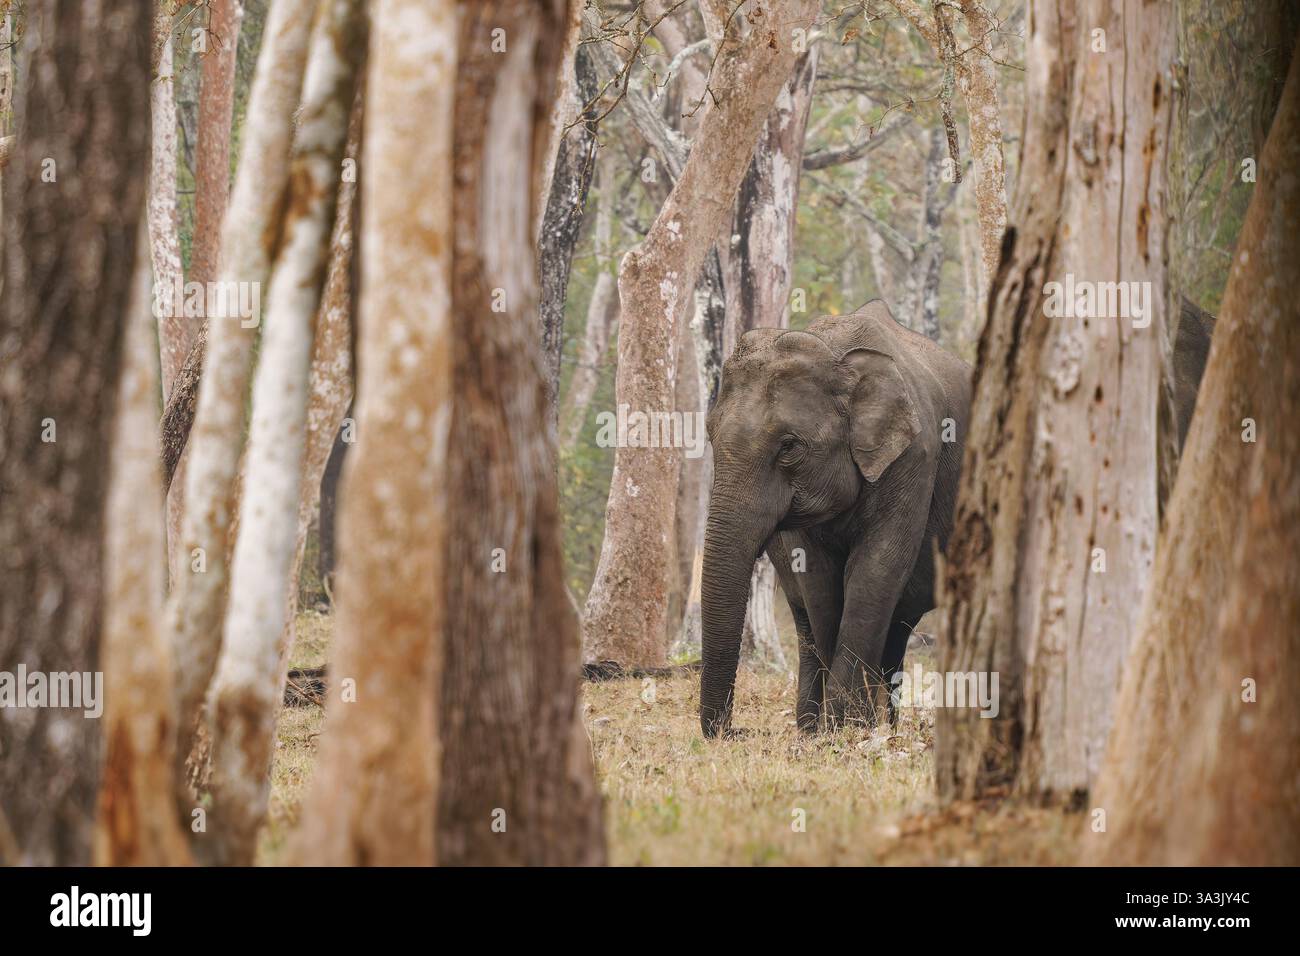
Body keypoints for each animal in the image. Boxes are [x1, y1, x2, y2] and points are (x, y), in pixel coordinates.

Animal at [699, 300, 972, 737]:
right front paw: (835, 729)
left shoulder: (916, 455)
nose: (735, 731)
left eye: (789, 446)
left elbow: (876, 568)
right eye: (709, 435)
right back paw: (816, 727)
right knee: (809, 622)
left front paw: (848, 727)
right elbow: (818, 580)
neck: (837, 352)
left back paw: (878, 725)